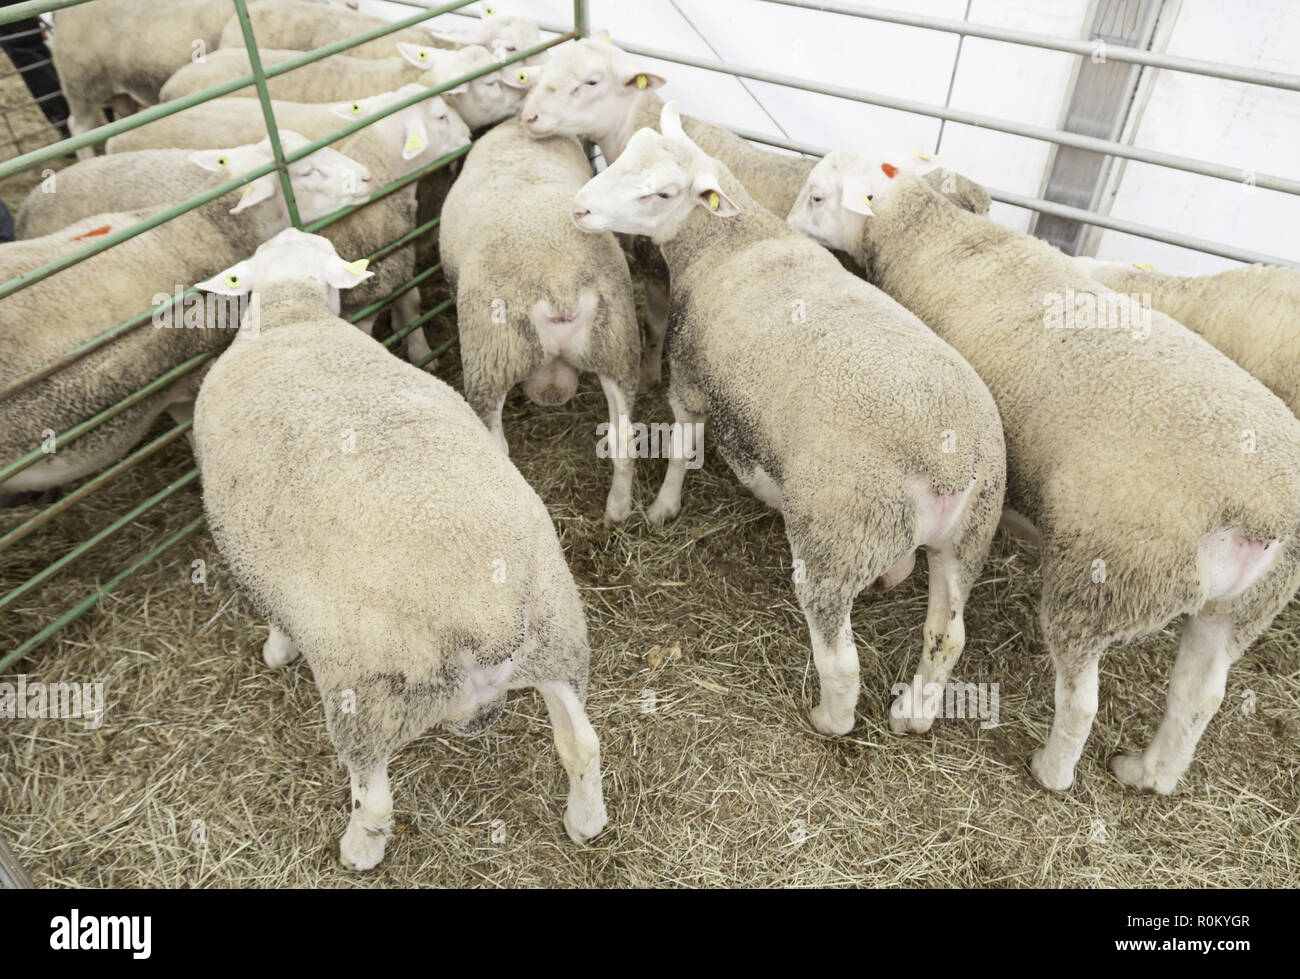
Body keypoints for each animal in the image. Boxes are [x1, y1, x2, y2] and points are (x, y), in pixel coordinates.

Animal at [192, 228, 608, 867]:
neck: (291, 312)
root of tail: (485, 620)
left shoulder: (247, 553)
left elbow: (276, 620)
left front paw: (276, 651)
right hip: (558, 640)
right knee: (582, 746)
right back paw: (586, 822)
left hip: (366, 700)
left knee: (376, 799)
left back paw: (357, 851)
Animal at [438, 118, 640, 522]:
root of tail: (559, 280)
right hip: (617, 346)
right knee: (623, 442)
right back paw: (617, 511)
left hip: (492, 359)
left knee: (500, 450)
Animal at [570, 104, 1007, 736]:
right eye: (626, 152)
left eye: (662, 193)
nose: (578, 207)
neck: (730, 241)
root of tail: (949, 457)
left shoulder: (690, 382)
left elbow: (681, 450)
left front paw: (662, 509)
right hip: (968, 537)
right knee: (948, 636)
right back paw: (913, 714)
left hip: (836, 538)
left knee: (842, 662)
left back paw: (828, 719)